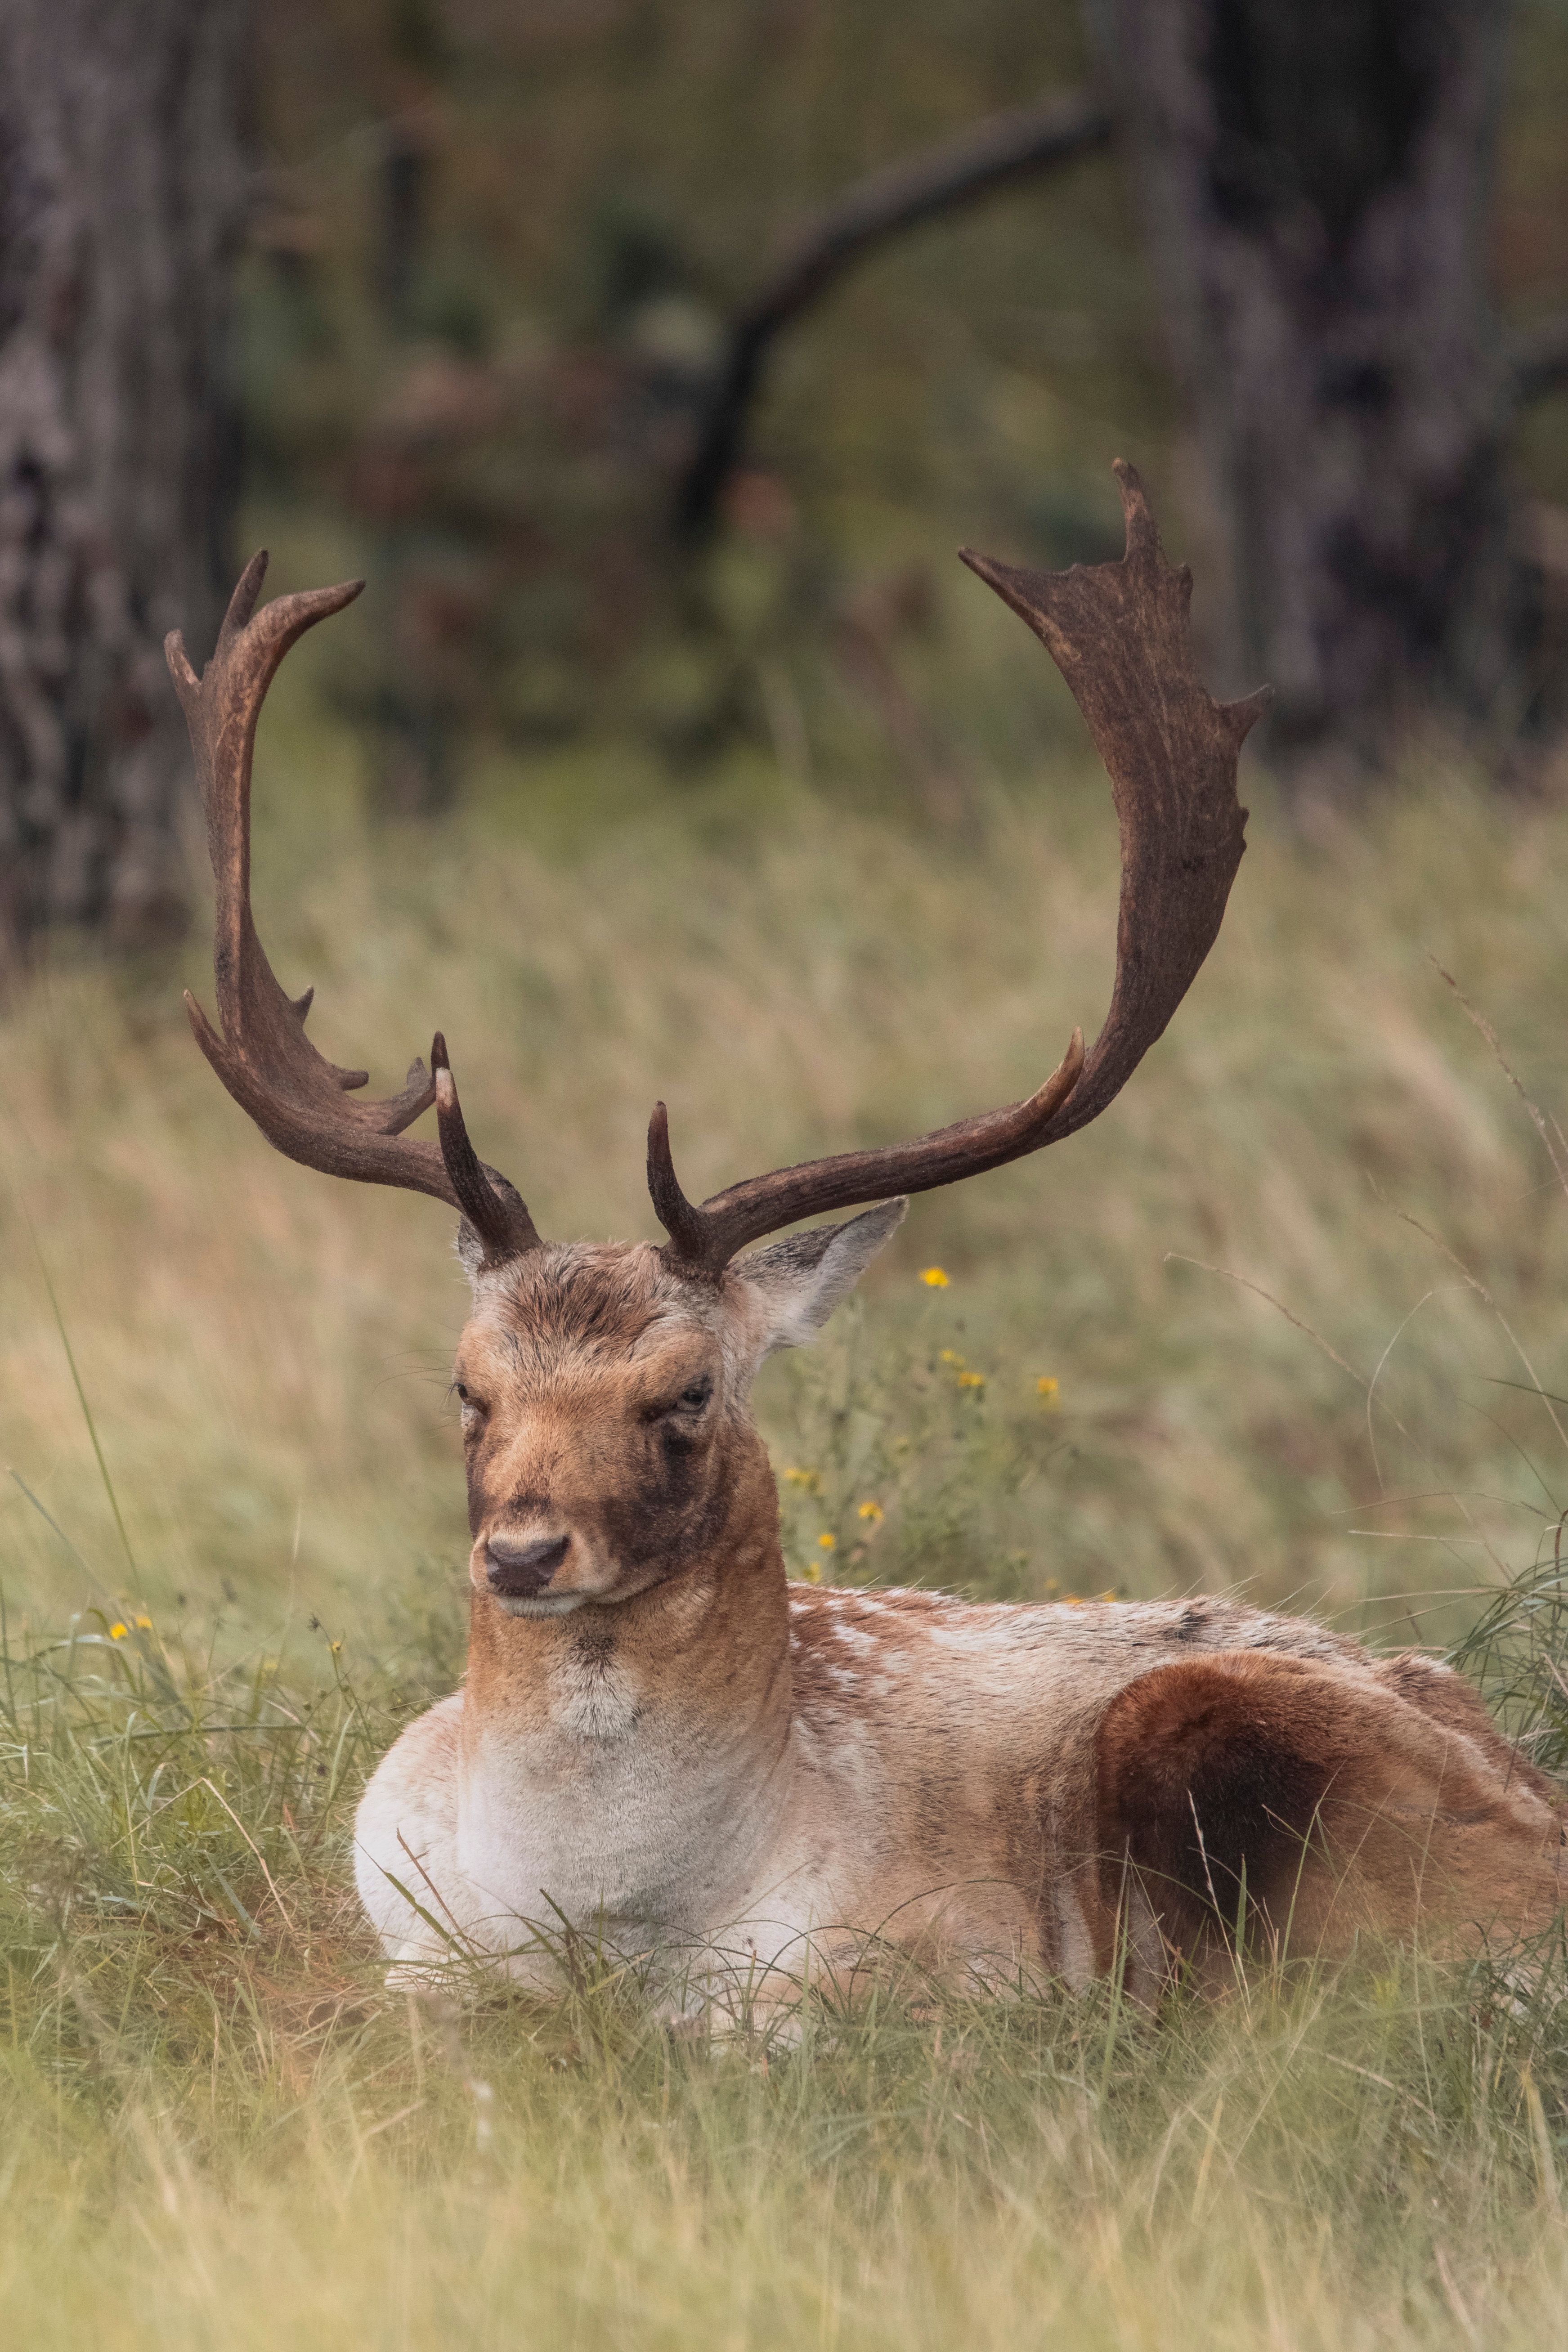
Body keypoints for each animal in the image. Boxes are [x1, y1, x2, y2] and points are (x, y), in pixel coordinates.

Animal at [167, 464, 1565, 2014]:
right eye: (468, 1387)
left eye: (685, 1392)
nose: (522, 1552)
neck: (600, 1934)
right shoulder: (408, 1948)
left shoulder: (906, 1976)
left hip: (1230, 1746)